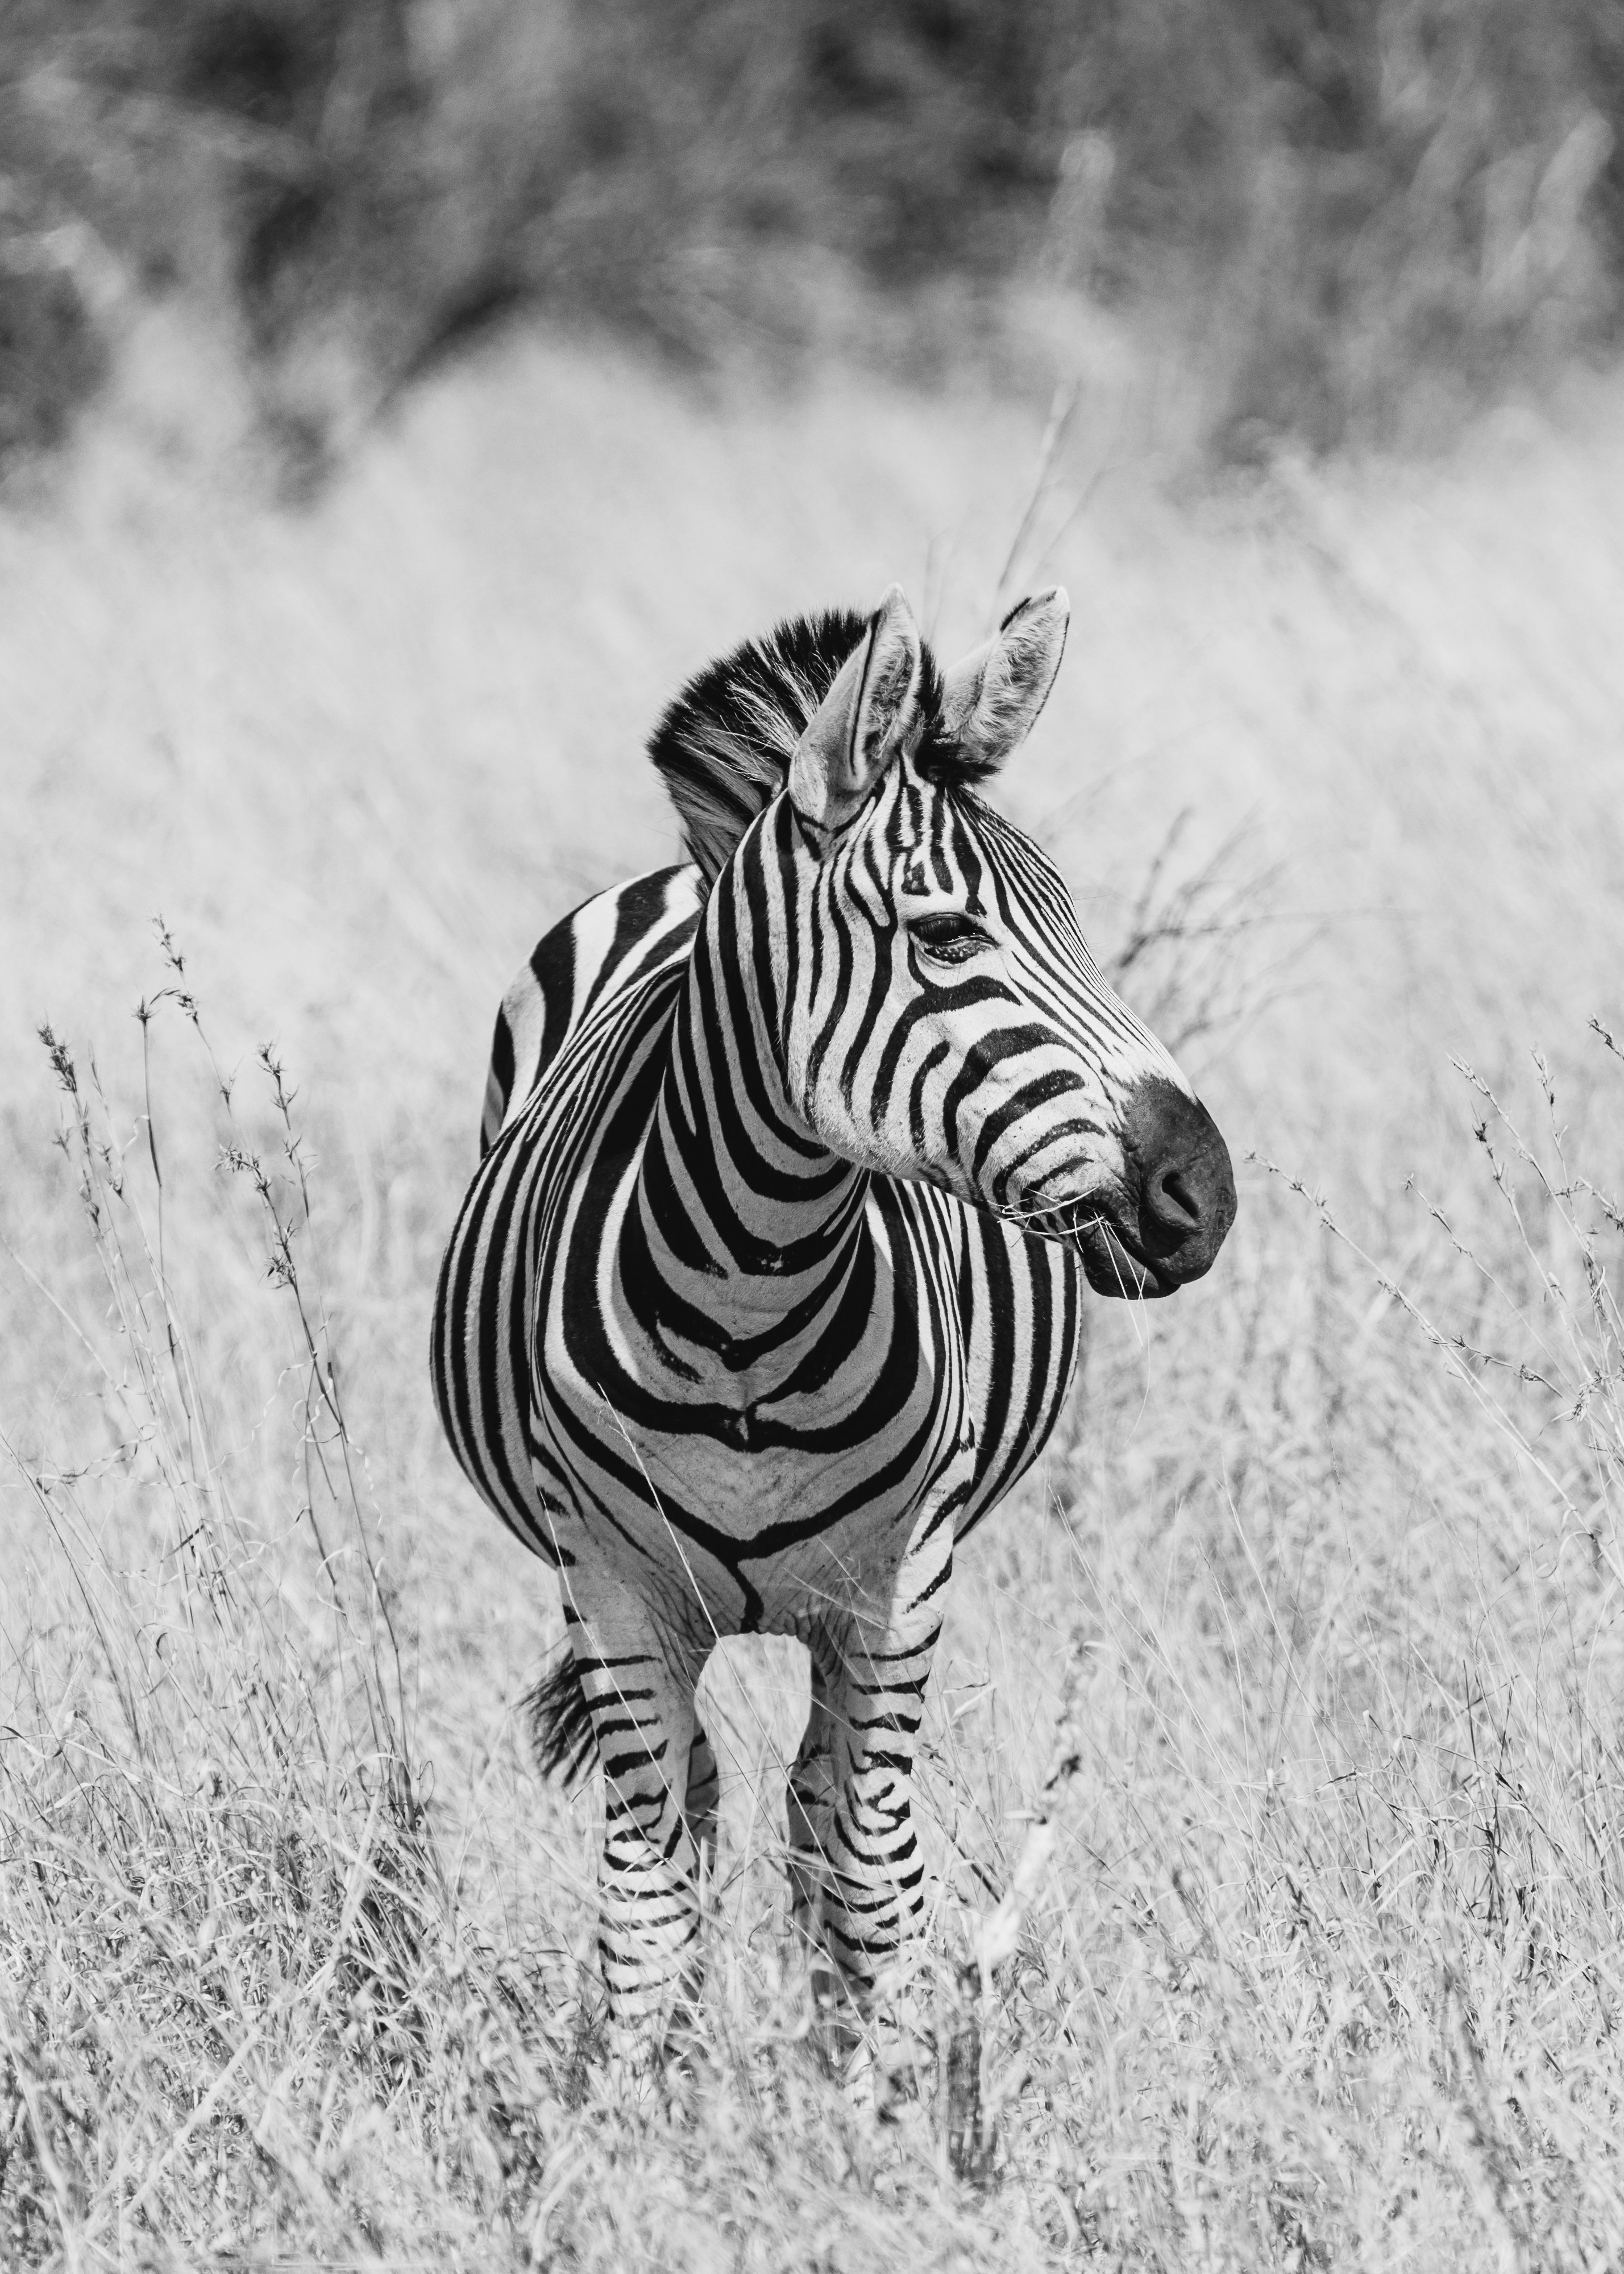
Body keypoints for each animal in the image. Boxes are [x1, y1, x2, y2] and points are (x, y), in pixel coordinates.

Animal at [432, 586, 1235, 2052]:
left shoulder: (898, 1589)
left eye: (1079, 925)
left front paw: (878, 2098)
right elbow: (646, 1899)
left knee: (818, 1816)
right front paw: (642, 2102)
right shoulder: (612, 1590)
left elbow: (867, 1877)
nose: (1205, 1196)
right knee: (701, 1802)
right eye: (948, 937)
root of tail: (685, 865)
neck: (748, 1294)